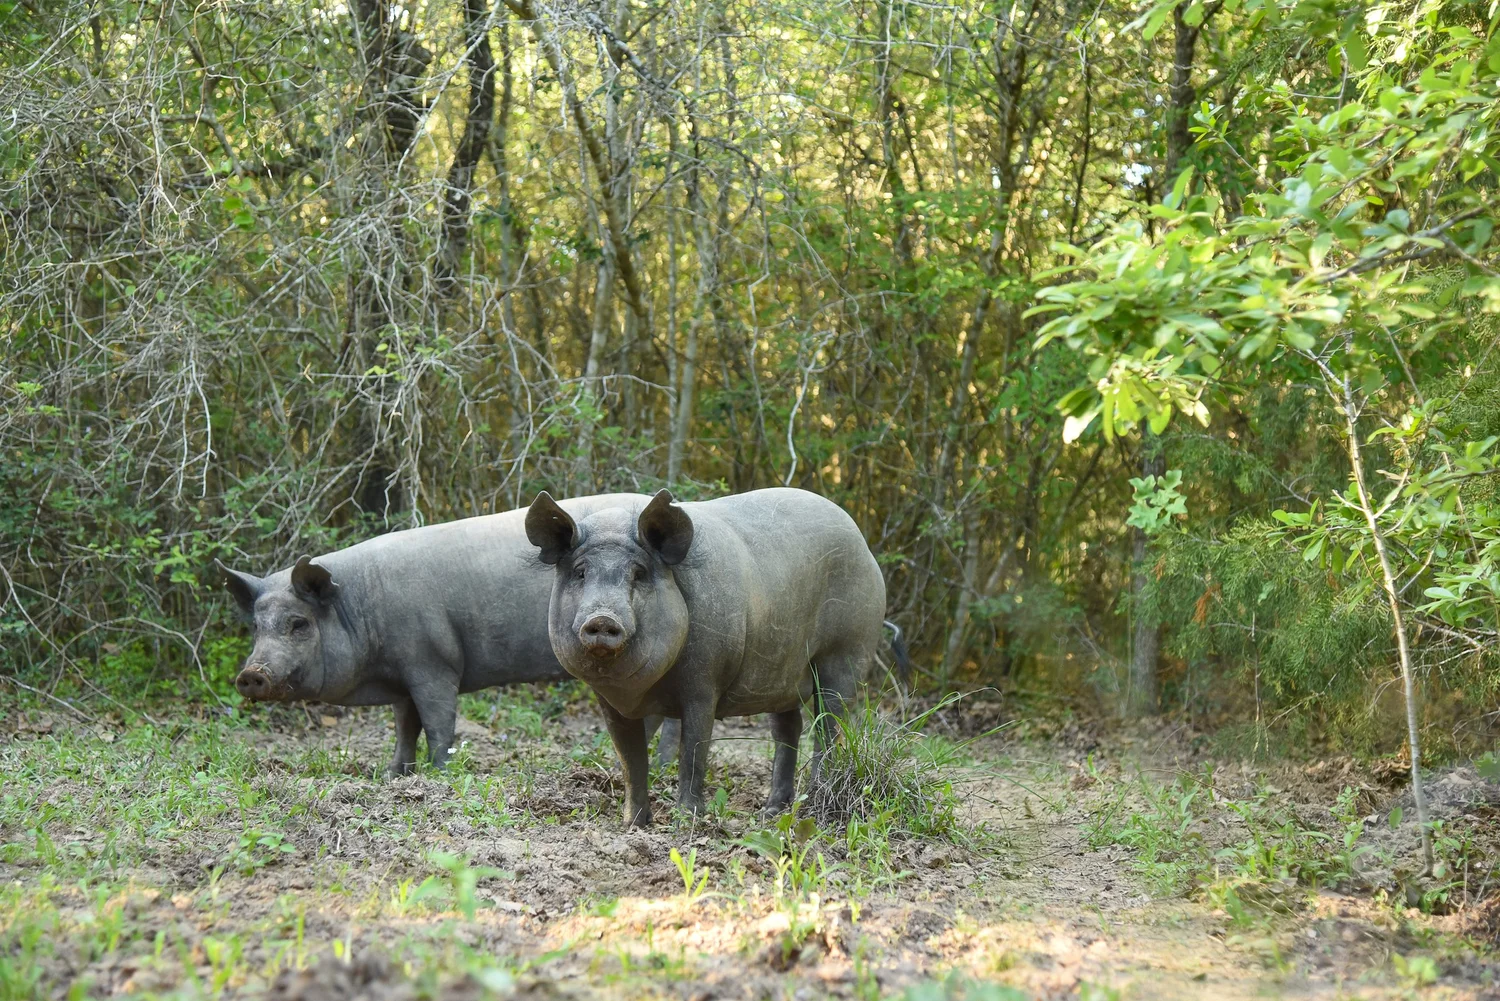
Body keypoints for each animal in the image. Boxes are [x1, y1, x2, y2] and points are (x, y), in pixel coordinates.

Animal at [217, 493, 673, 776]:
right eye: (256, 626)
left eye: (299, 623)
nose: (251, 674)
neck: (360, 612)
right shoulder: (403, 680)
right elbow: (404, 727)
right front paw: (393, 774)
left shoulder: (433, 665)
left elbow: (438, 724)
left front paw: (439, 773)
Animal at [524, 486, 908, 826]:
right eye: (580, 572)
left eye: (639, 573)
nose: (602, 618)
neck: (638, 691)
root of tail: (864, 546)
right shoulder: (609, 702)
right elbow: (631, 761)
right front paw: (632, 825)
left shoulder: (704, 684)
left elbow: (693, 751)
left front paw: (685, 821)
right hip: (780, 673)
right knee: (789, 729)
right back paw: (770, 812)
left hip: (846, 652)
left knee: (829, 726)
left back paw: (812, 809)